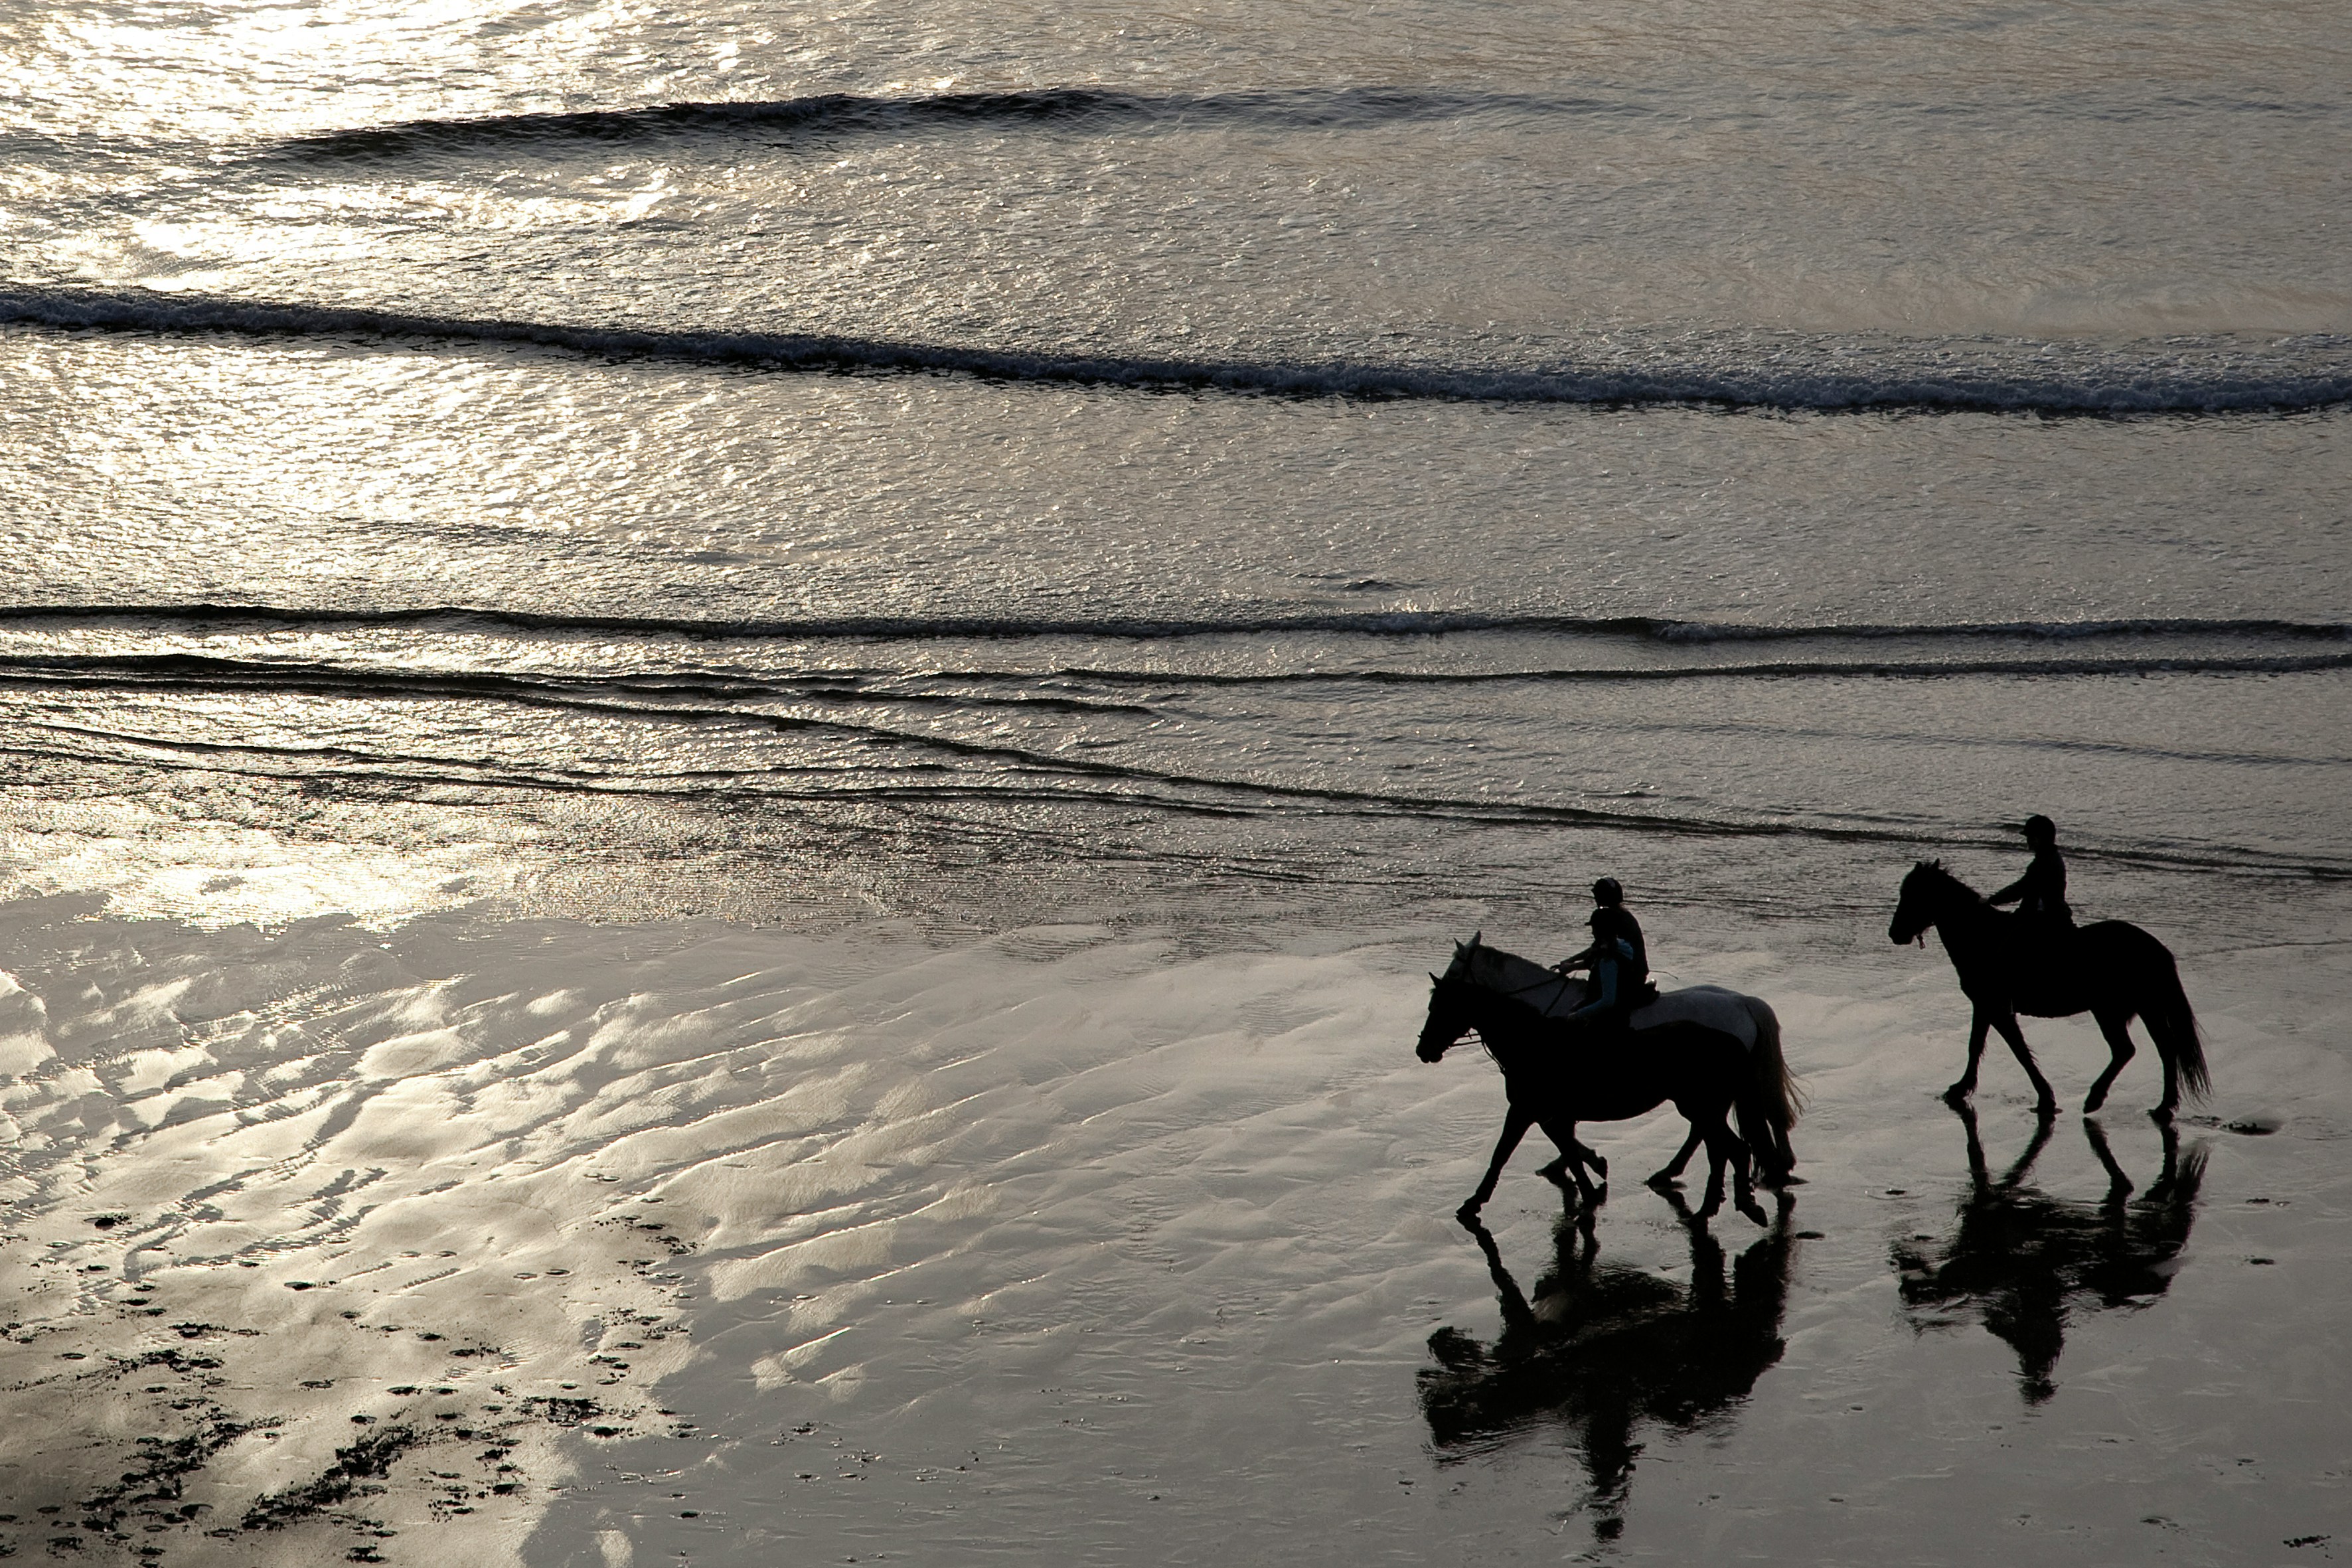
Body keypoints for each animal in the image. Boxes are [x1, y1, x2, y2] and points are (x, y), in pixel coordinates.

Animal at [1415, 936, 1793, 1225]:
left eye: (1451, 979)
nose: (1423, 1050)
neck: (1535, 1035)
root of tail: (1742, 1003)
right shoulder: (1549, 1110)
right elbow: (1564, 1143)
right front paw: (1587, 1173)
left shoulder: (1531, 1108)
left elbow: (1512, 1152)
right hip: (1705, 1102)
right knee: (1711, 1140)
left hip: (1700, 1101)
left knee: (1720, 1142)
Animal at [1888, 861, 2208, 1120]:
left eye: (1914, 894)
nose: (1895, 934)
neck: (1983, 937)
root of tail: (2156, 948)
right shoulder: (1985, 1006)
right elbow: (1976, 1045)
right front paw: (1961, 1088)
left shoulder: (1996, 1007)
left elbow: (2016, 1050)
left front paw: (2045, 1096)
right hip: (2143, 1008)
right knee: (2164, 1049)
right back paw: (2162, 1107)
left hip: (2111, 1010)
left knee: (2127, 1050)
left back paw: (2099, 1099)